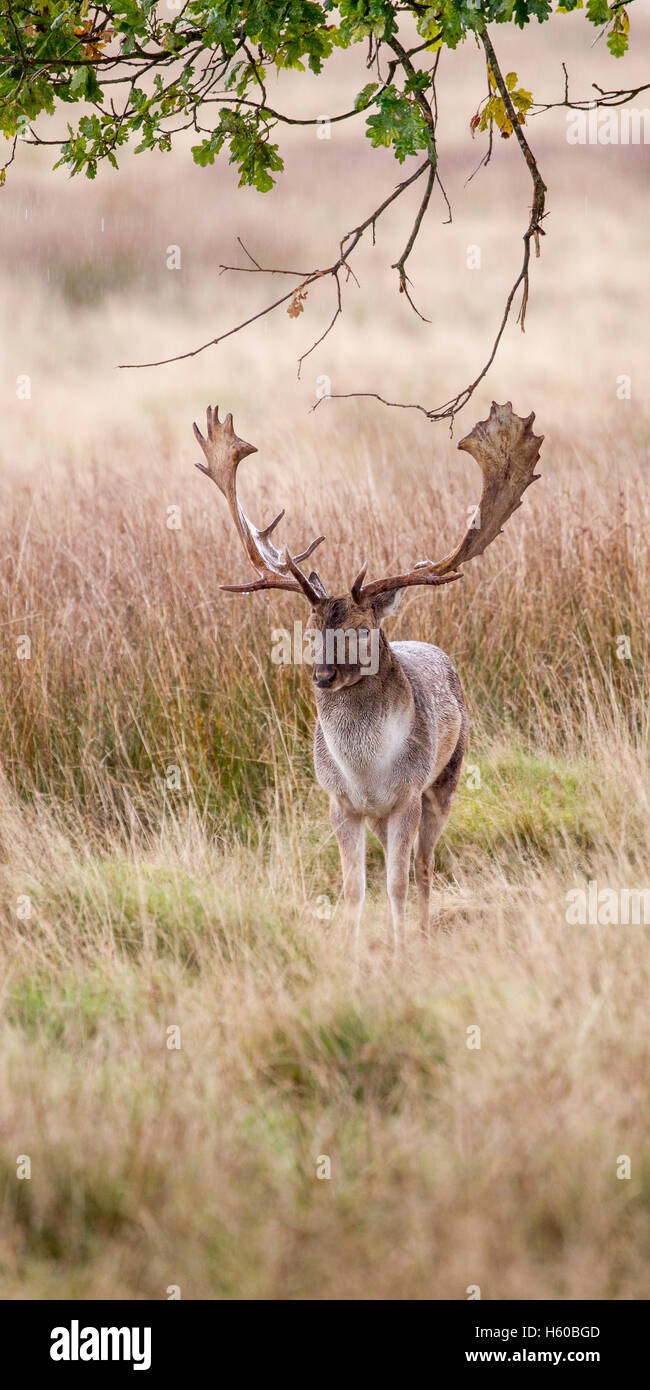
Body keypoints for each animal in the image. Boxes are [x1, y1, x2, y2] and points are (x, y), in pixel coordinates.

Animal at [192, 402, 543, 953]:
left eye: (359, 630)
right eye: (312, 629)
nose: (322, 676)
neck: (366, 770)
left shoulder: (407, 796)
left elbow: (396, 882)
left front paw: (400, 952)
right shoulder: (340, 801)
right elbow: (353, 887)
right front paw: (351, 952)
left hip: (446, 777)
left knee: (424, 864)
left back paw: (424, 931)